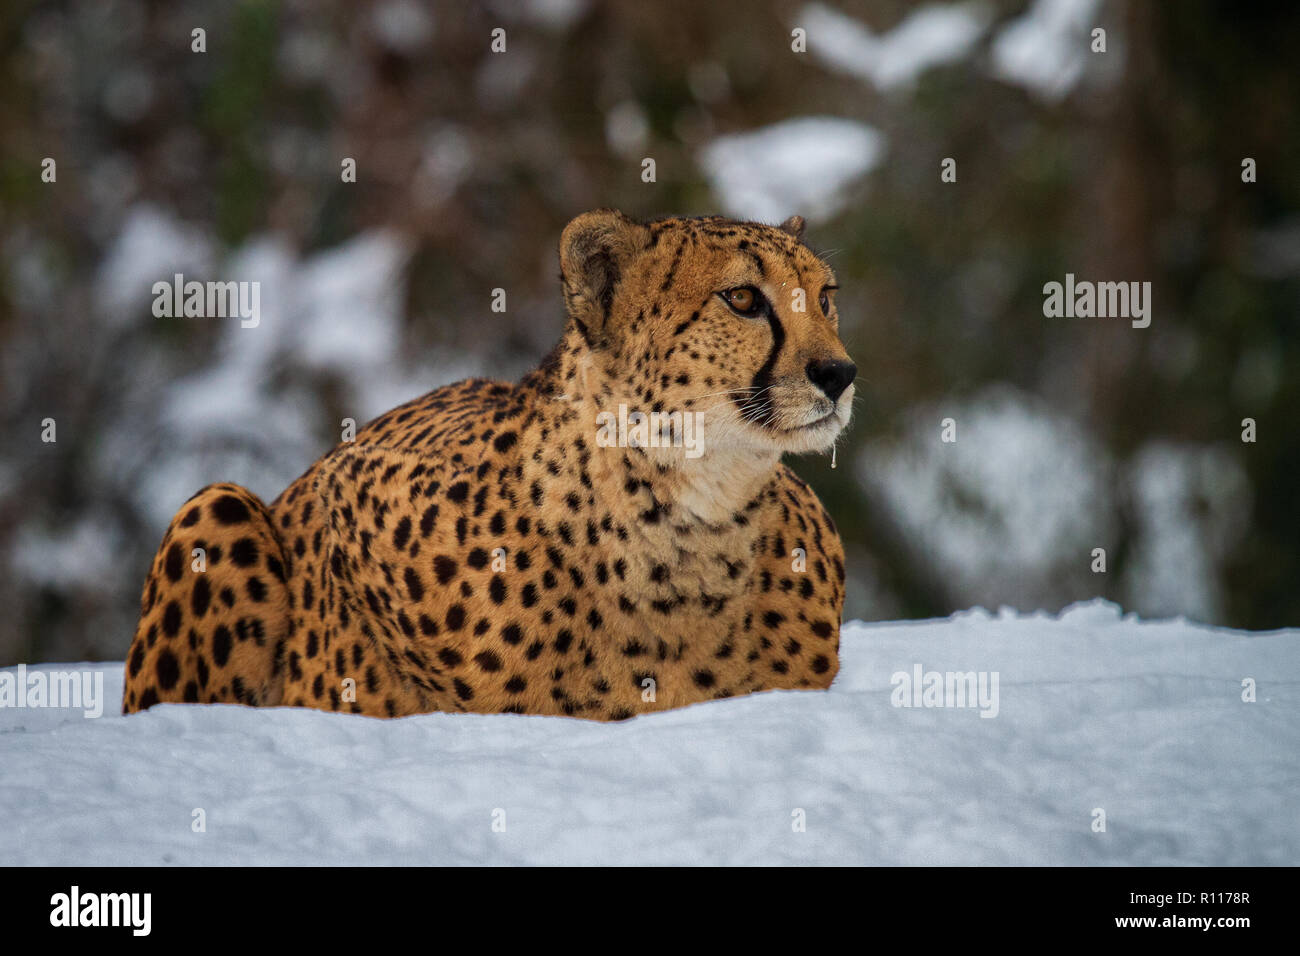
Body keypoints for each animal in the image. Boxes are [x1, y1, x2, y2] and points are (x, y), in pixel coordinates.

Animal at [122, 210, 856, 721]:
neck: (692, 518)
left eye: (825, 297)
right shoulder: (353, 499)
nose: (839, 373)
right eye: (743, 299)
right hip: (217, 507)